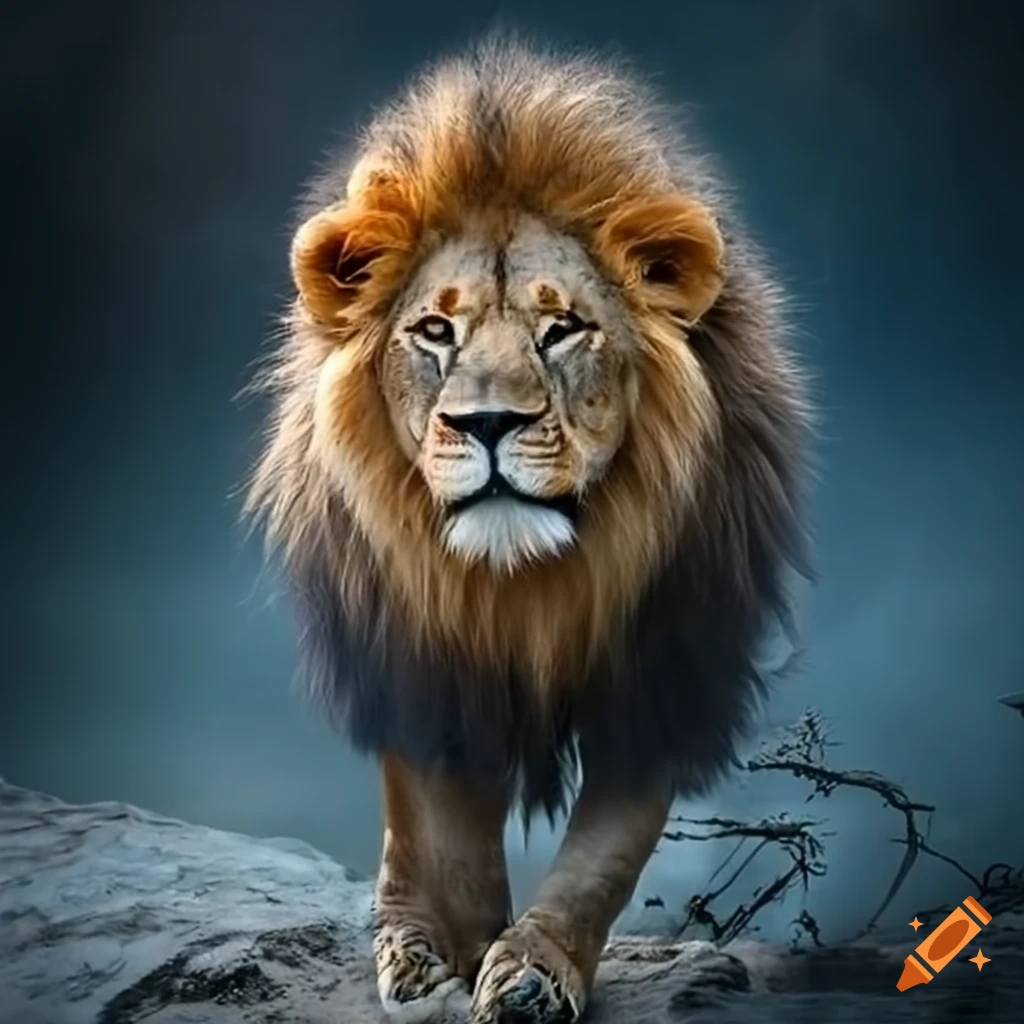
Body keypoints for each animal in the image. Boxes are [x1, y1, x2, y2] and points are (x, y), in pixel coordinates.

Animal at [245, 36, 811, 1024]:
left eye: (563, 330)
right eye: (436, 330)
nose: (488, 423)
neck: (529, 582)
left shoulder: (663, 669)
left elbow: (601, 862)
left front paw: (533, 971)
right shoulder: (424, 657)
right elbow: (447, 832)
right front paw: (460, 952)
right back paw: (407, 944)